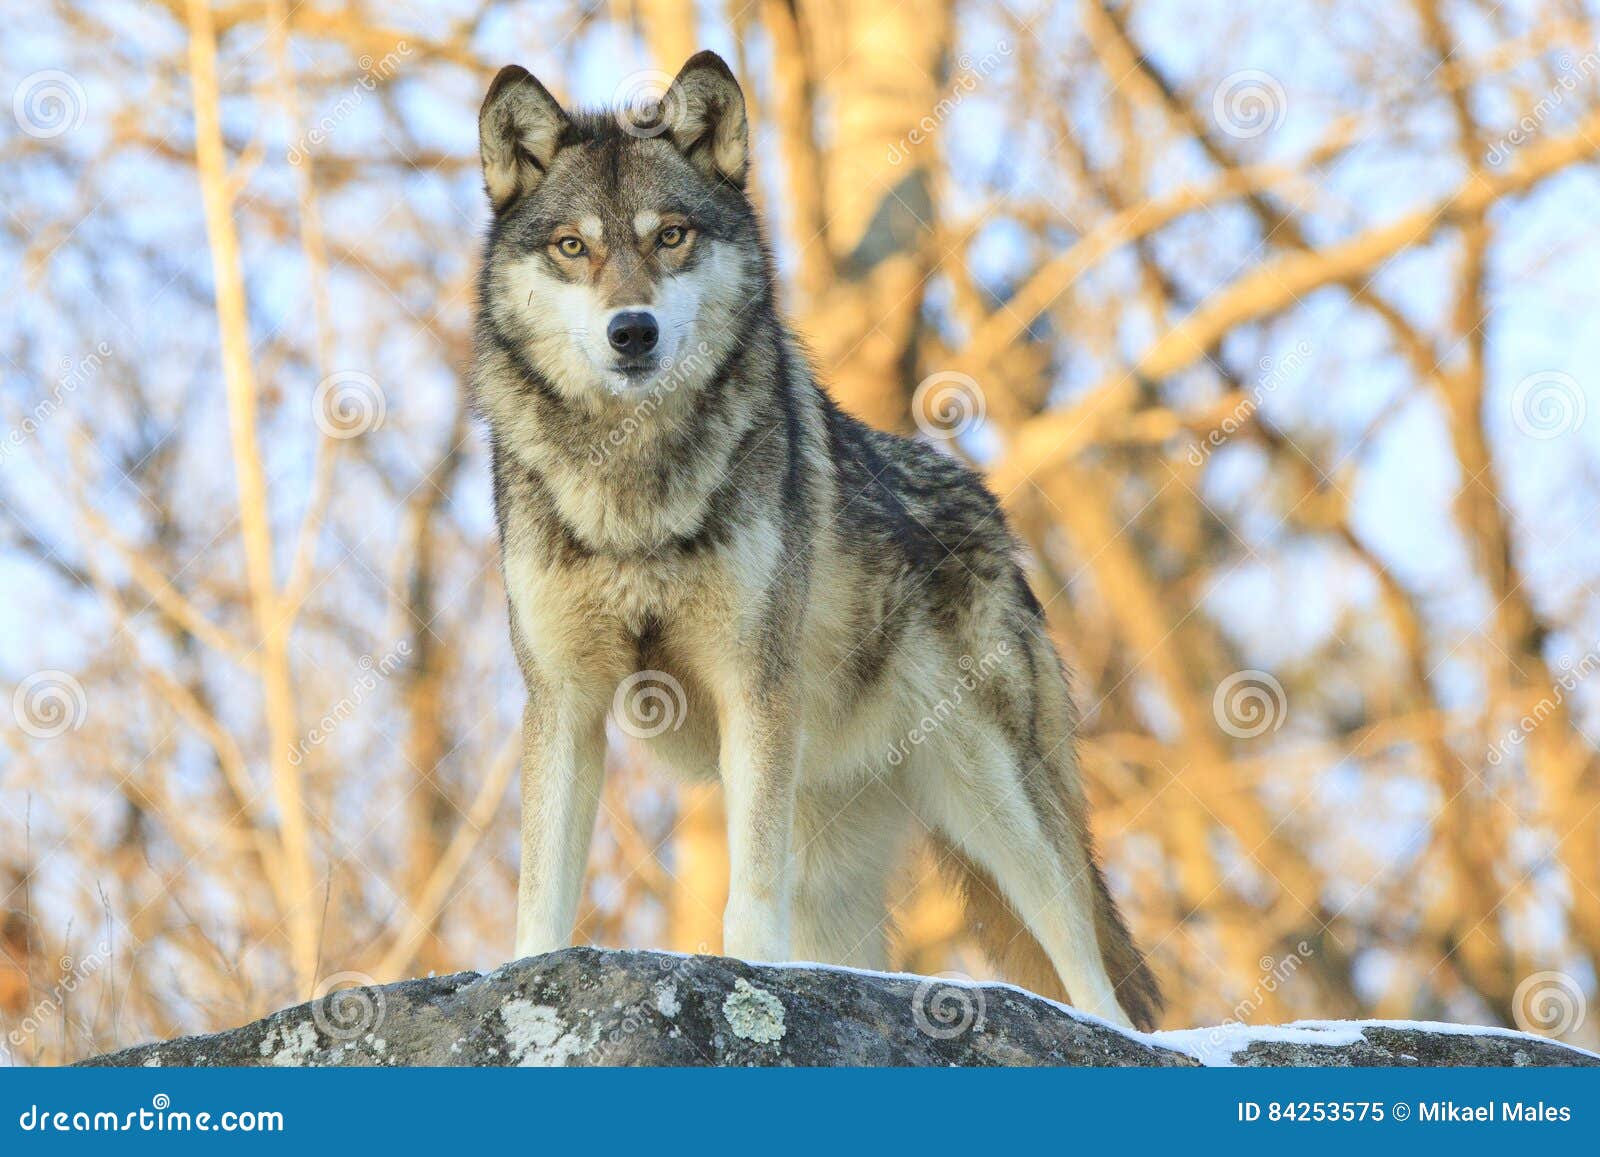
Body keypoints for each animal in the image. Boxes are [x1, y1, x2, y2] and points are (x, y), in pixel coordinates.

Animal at [472, 51, 1161, 1030]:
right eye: (574, 246)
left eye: (671, 236)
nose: (632, 330)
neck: (633, 480)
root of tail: (991, 508)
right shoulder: (563, 700)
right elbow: (542, 894)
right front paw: (525, 978)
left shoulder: (751, 685)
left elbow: (748, 898)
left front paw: (748, 979)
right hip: (836, 852)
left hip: (997, 795)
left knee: (1091, 971)